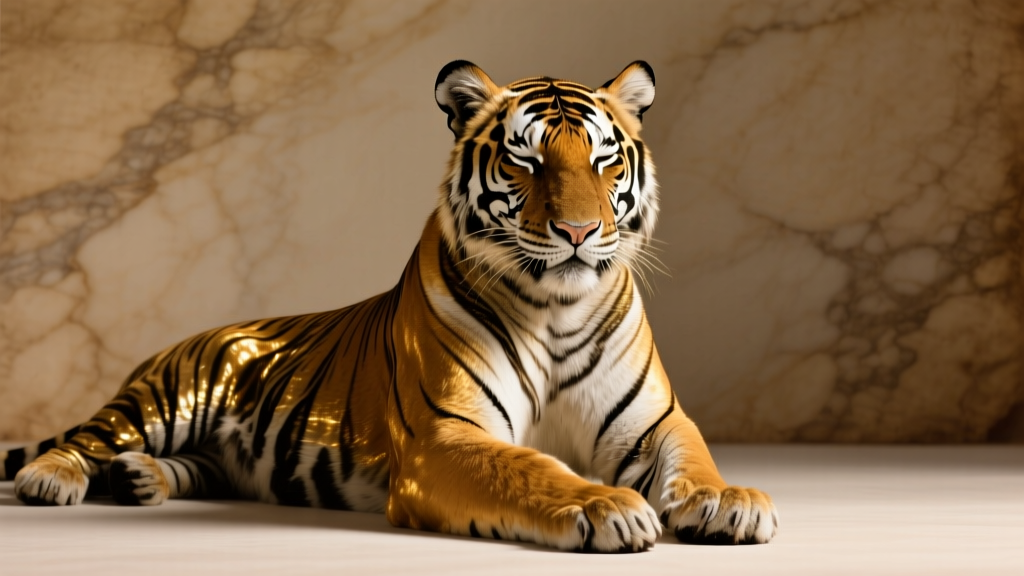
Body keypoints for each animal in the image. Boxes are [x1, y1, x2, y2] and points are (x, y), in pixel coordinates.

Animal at [1, 60, 778, 551]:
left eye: (604, 160)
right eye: (526, 161)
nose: (580, 232)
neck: (559, 308)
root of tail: (204, 334)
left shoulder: (654, 423)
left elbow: (694, 457)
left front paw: (730, 501)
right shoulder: (448, 436)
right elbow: (532, 467)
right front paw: (605, 504)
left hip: (215, 449)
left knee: (195, 464)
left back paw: (139, 479)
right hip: (164, 399)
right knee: (89, 435)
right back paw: (54, 479)